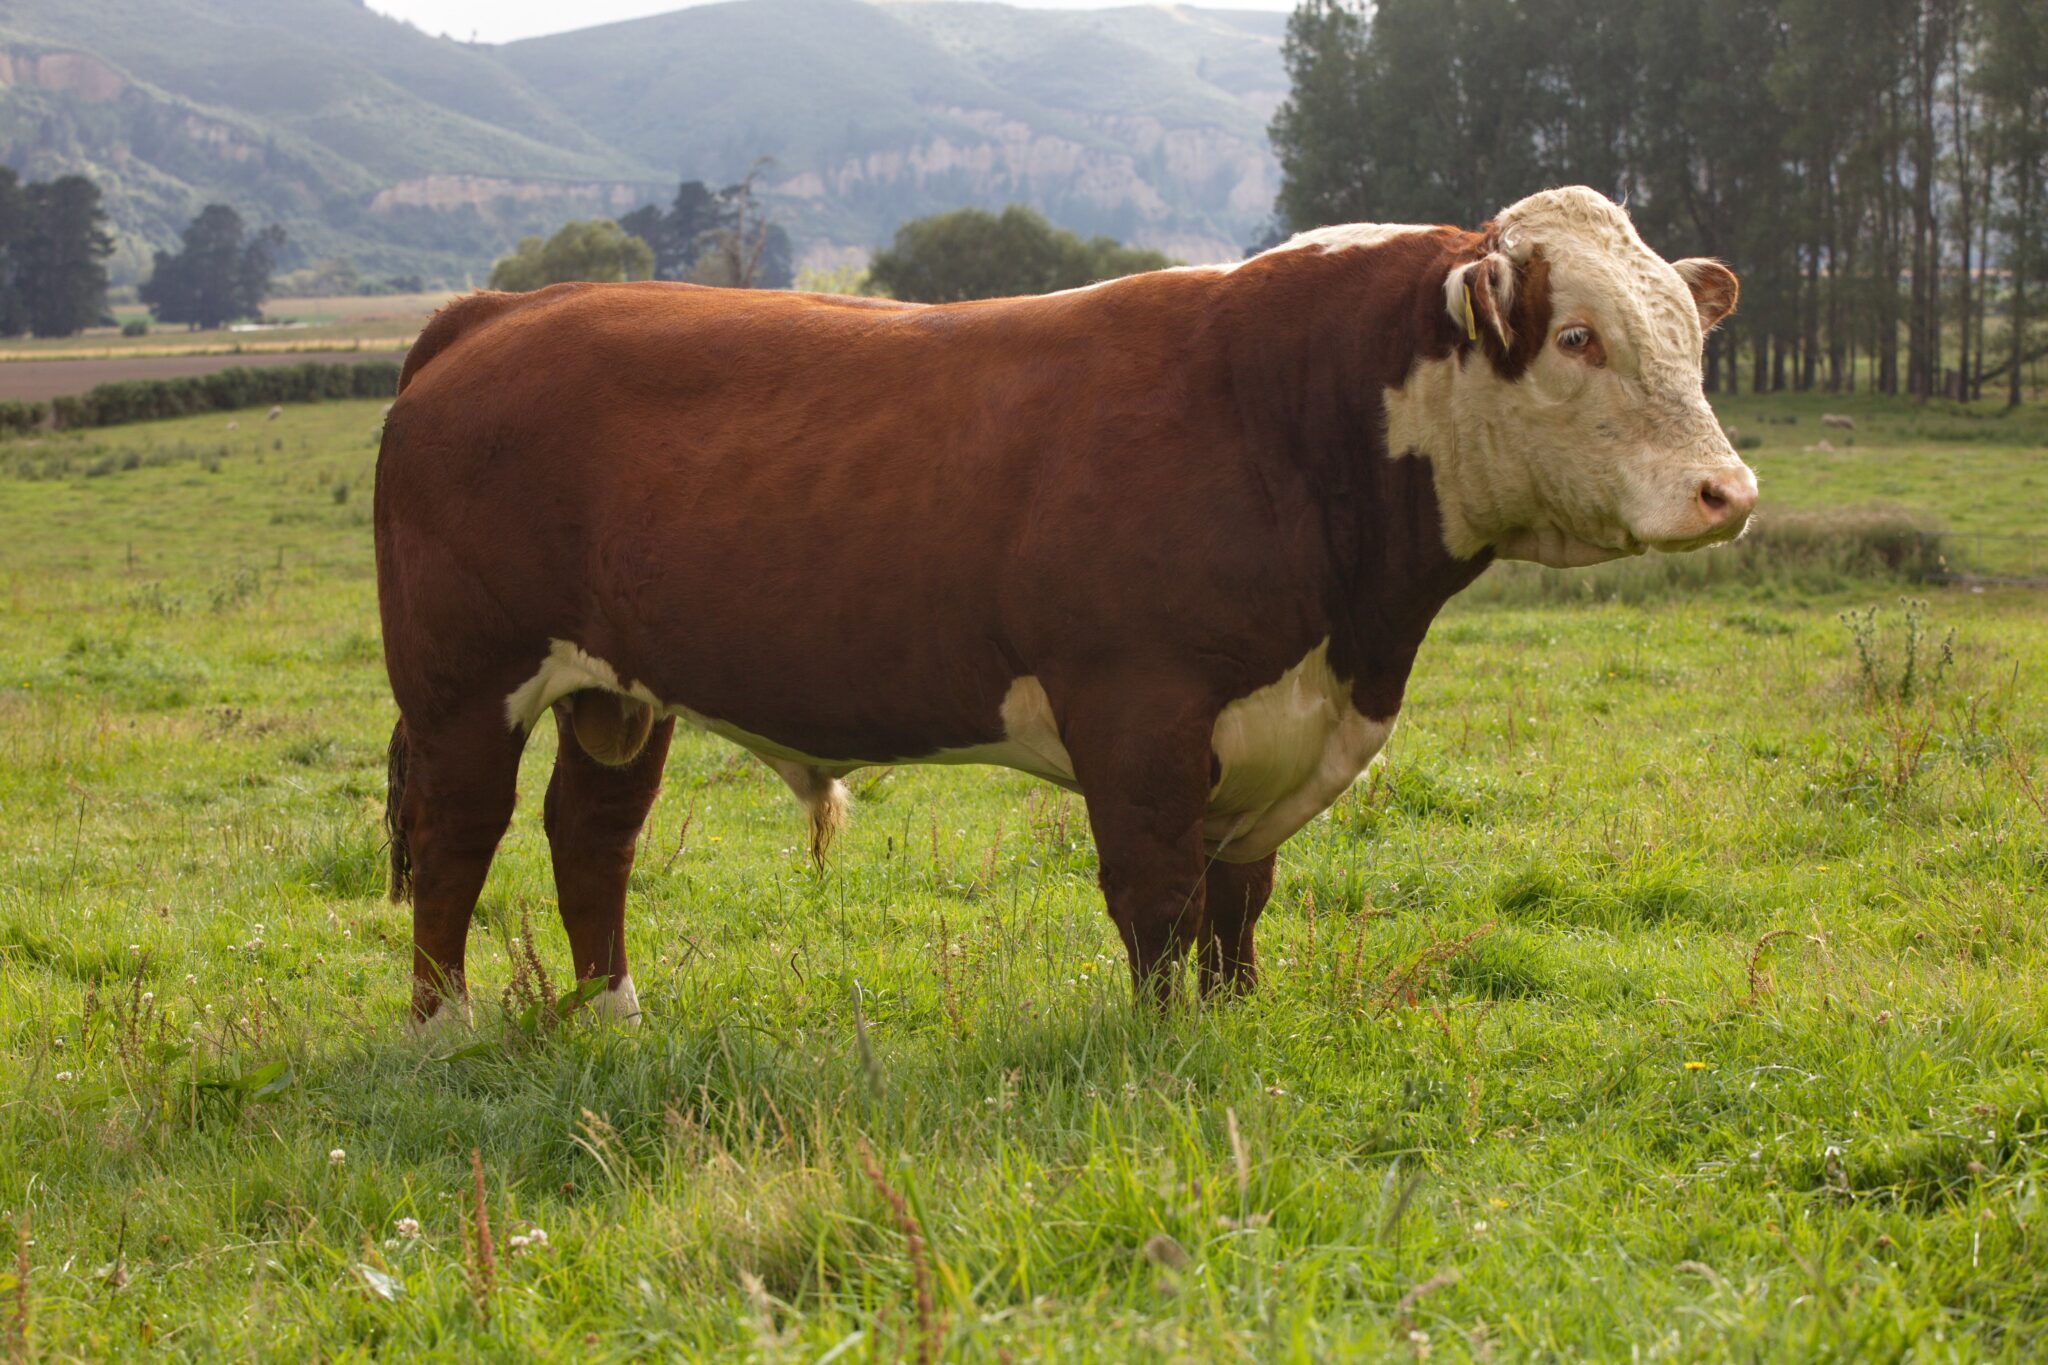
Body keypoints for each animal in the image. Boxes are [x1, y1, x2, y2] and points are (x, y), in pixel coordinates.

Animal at [375, 185, 1755, 1029]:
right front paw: (1160, 1044)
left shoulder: (1273, 725)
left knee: (589, 831)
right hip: (461, 679)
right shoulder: (1137, 709)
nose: (1725, 492)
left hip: (617, 688)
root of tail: (501, 310)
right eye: (1575, 337)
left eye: (1687, 337)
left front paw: (1234, 1020)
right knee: (458, 835)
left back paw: (612, 1012)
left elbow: (1234, 902)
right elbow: (1155, 894)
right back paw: (444, 1028)